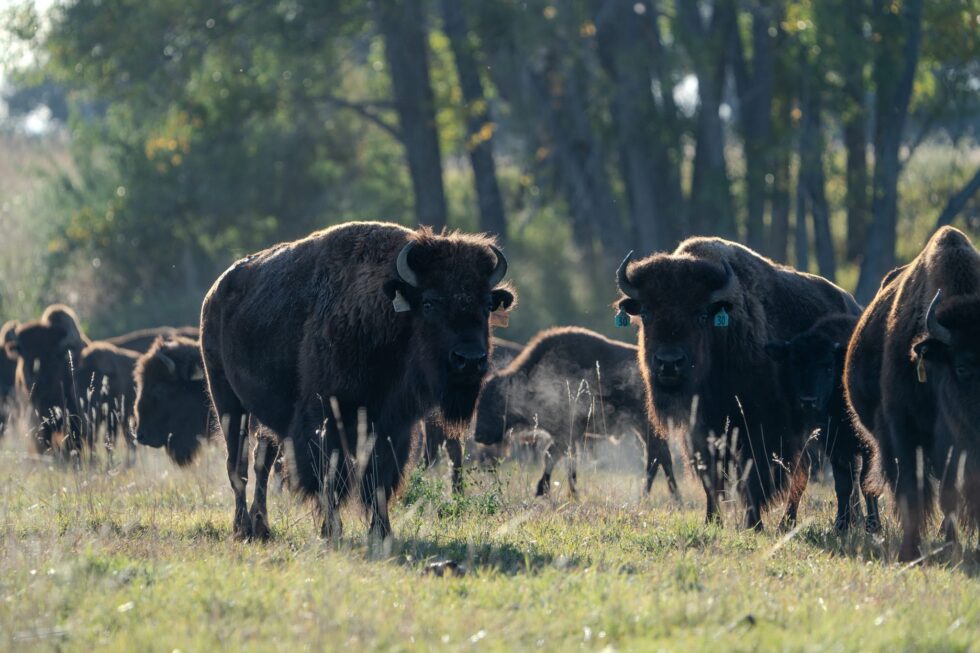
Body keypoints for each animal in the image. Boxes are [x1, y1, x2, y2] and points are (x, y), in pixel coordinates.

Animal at [200, 221, 515, 542]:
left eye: (487, 305)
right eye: (429, 303)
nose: (470, 360)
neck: (386, 316)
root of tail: (214, 294)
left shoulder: (394, 426)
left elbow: (379, 478)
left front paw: (382, 531)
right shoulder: (325, 418)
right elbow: (330, 476)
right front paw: (332, 531)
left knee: (260, 462)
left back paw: (261, 528)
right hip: (226, 399)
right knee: (237, 465)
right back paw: (242, 529)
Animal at [473, 326, 678, 498]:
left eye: (497, 401)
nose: (478, 436)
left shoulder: (569, 433)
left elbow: (554, 456)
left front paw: (547, 490)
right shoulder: (568, 436)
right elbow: (564, 461)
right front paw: (559, 492)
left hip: (646, 426)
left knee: (657, 456)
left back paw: (659, 496)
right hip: (644, 429)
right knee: (658, 456)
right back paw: (664, 496)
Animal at [617, 238, 861, 529]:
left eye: (701, 314)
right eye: (646, 312)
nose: (669, 363)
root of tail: (854, 307)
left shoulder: (760, 429)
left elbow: (753, 479)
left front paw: (753, 524)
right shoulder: (702, 431)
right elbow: (712, 479)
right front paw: (712, 521)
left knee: (837, 472)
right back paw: (792, 523)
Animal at [765, 314, 882, 531]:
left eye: (828, 366)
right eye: (794, 363)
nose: (808, 400)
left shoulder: (869, 447)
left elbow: (866, 483)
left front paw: (874, 527)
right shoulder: (836, 446)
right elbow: (843, 485)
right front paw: (841, 526)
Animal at [846, 226, 980, 561]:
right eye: (961, 367)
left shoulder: (955, 446)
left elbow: (948, 496)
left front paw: (951, 546)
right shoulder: (902, 432)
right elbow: (911, 491)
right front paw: (910, 550)